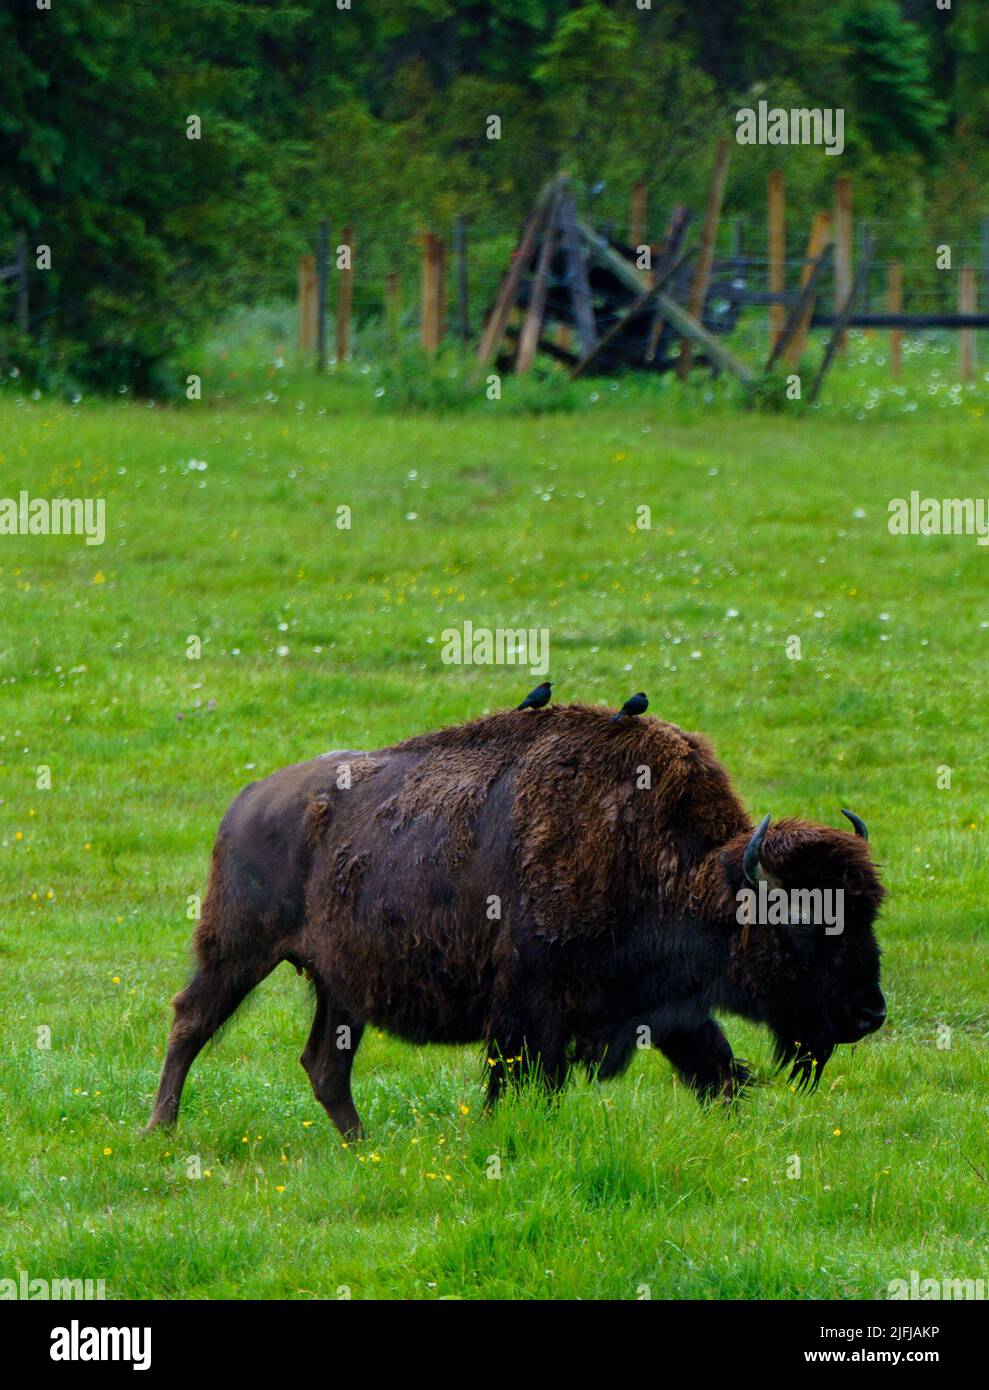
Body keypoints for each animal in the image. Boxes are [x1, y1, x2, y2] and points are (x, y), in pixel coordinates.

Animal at [147, 704, 885, 1138]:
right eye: (803, 927)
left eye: (866, 915)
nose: (869, 1013)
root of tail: (246, 801)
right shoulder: (528, 1011)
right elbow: (518, 1081)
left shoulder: (667, 1010)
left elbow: (720, 1075)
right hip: (238, 951)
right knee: (191, 1022)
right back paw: (161, 1130)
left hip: (339, 986)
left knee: (324, 1065)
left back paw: (361, 1147)